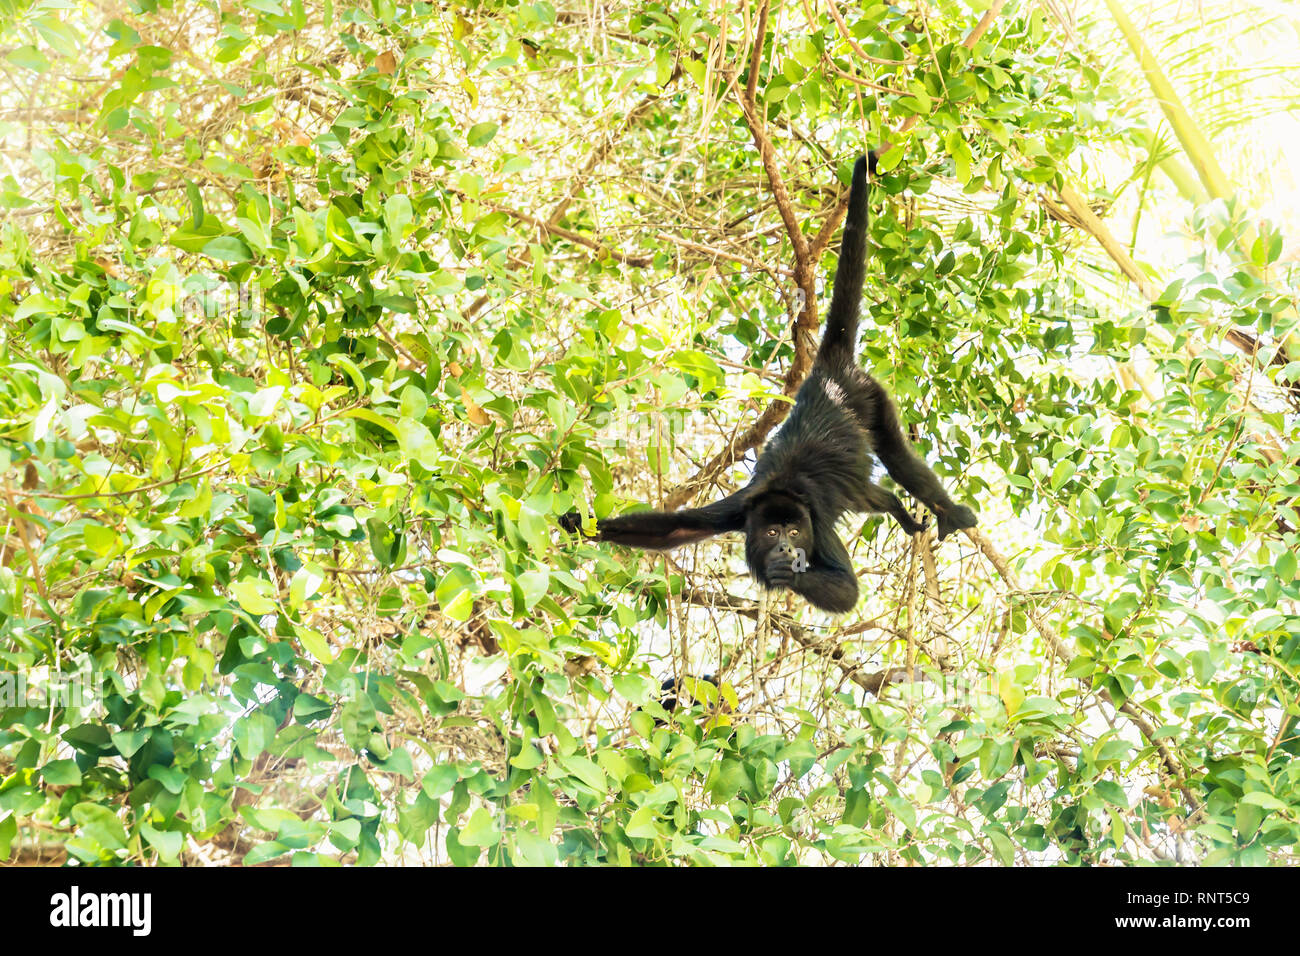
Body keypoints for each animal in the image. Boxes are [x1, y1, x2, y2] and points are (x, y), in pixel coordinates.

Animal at [560, 153, 977, 613]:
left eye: (794, 533)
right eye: (773, 532)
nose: (786, 550)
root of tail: (826, 371)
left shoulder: (815, 520)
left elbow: (847, 589)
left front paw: (788, 574)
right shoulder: (742, 507)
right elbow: (673, 530)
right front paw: (579, 524)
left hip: (869, 394)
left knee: (900, 459)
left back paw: (949, 512)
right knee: (868, 490)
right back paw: (893, 506)